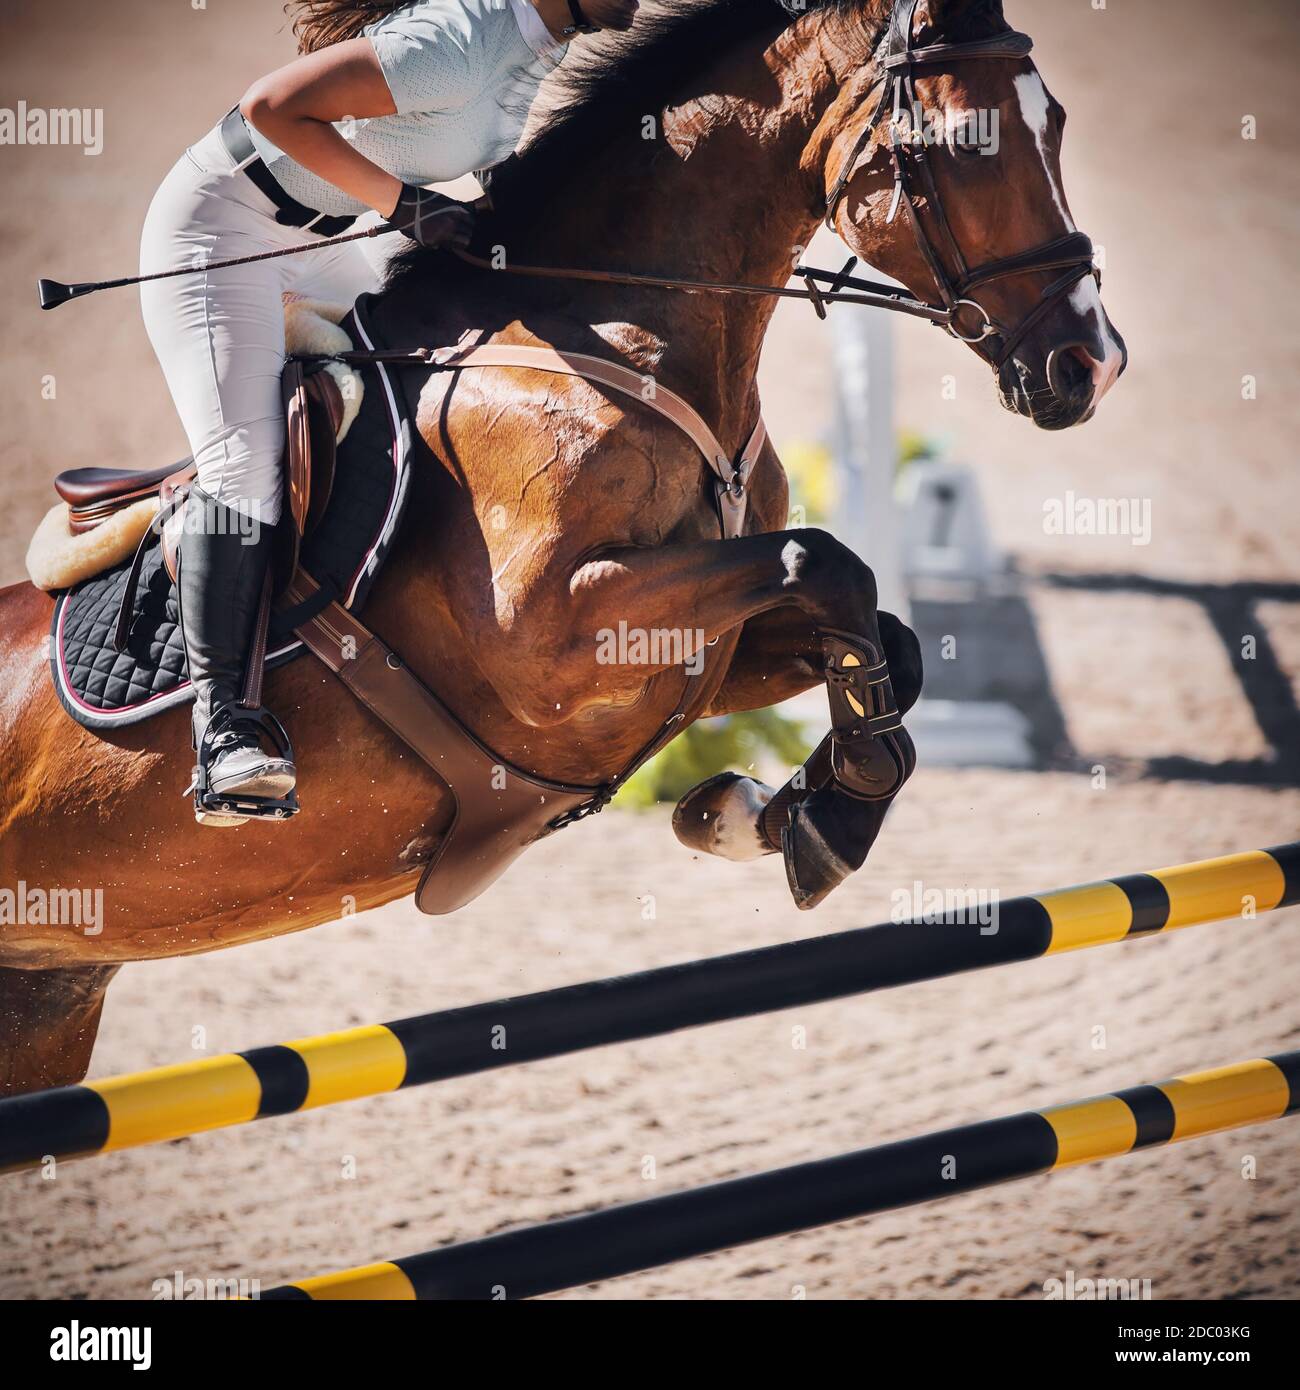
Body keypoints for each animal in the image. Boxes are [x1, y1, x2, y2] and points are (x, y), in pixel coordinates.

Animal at [0, 0, 1124, 1095]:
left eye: (1060, 123)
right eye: (970, 144)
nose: (1090, 365)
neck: (607, 331)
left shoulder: (699, 660)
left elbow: (883, 635)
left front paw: (775, 813)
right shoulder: (553, 643)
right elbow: (825, 563)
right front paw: (819, 823)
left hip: (48, 1001)